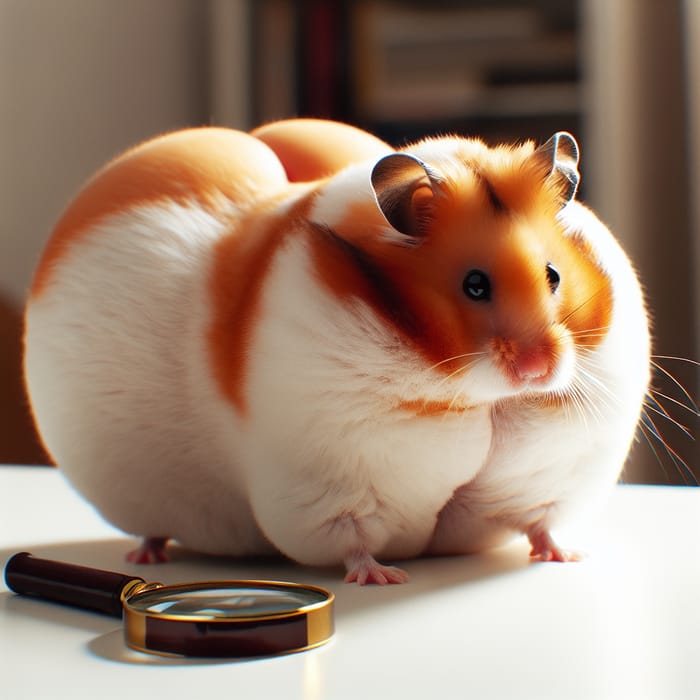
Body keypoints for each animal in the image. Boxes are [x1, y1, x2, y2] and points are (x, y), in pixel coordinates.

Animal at [24, 119, 650, 584]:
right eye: (474, 285)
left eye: (553, 275)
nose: (537, 370)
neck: (478, 396)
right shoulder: (336, 480)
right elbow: (353, 541)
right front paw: (383, 577)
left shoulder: (550, 478)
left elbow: (539, 523)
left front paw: (566, 555)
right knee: (154, 529)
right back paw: (145, 555)